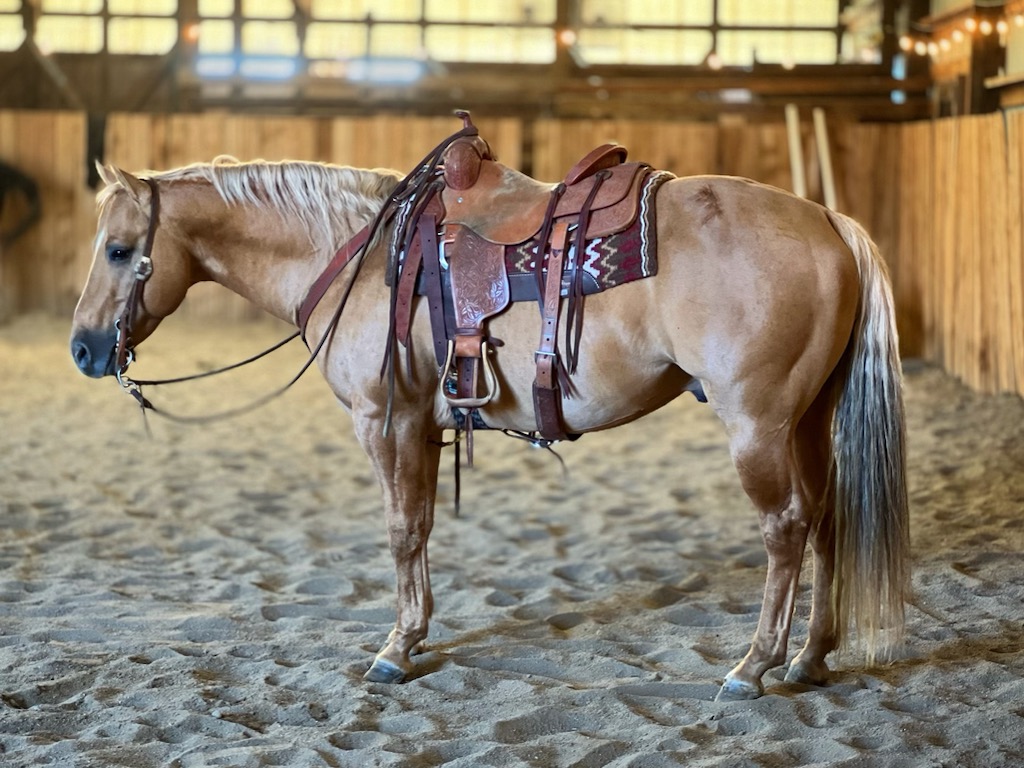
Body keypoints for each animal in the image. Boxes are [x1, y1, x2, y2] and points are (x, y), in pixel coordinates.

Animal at [69, 145, 909, 702]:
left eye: (119, 250)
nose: (82, 348)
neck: (360, 257)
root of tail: (829, 221)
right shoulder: (423, 424)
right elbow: (421, 528)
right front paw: (414, 635)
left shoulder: (385, 421)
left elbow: (401, 530)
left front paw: (396, 647)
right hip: (808, 418)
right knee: (828, 520)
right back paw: (810, 657)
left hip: (758, 426)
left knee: (786, 528)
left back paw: (753, 666)